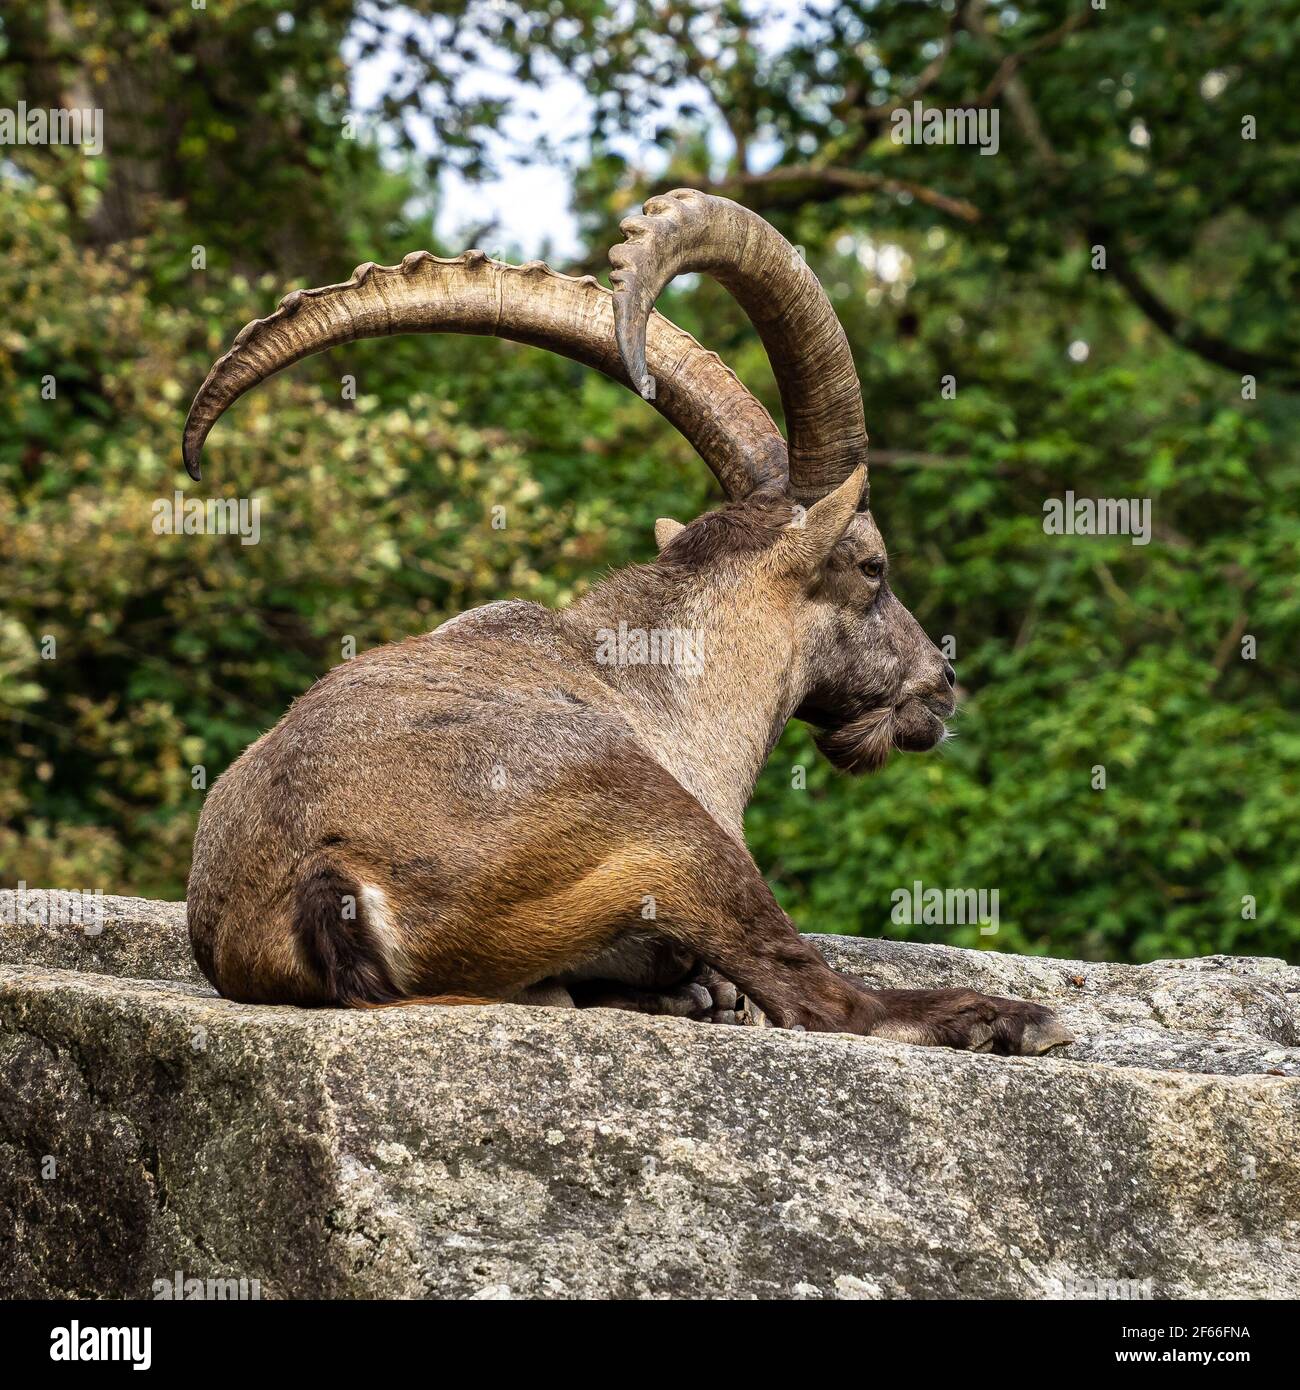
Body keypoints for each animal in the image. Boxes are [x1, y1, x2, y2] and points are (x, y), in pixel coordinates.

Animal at [182, 190, 1071, 1054]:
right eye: (872, 566)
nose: (942, 680)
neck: (663, 684)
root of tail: (326, 879)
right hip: (665, 831)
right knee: (822, 1001)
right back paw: (1009, 1019)